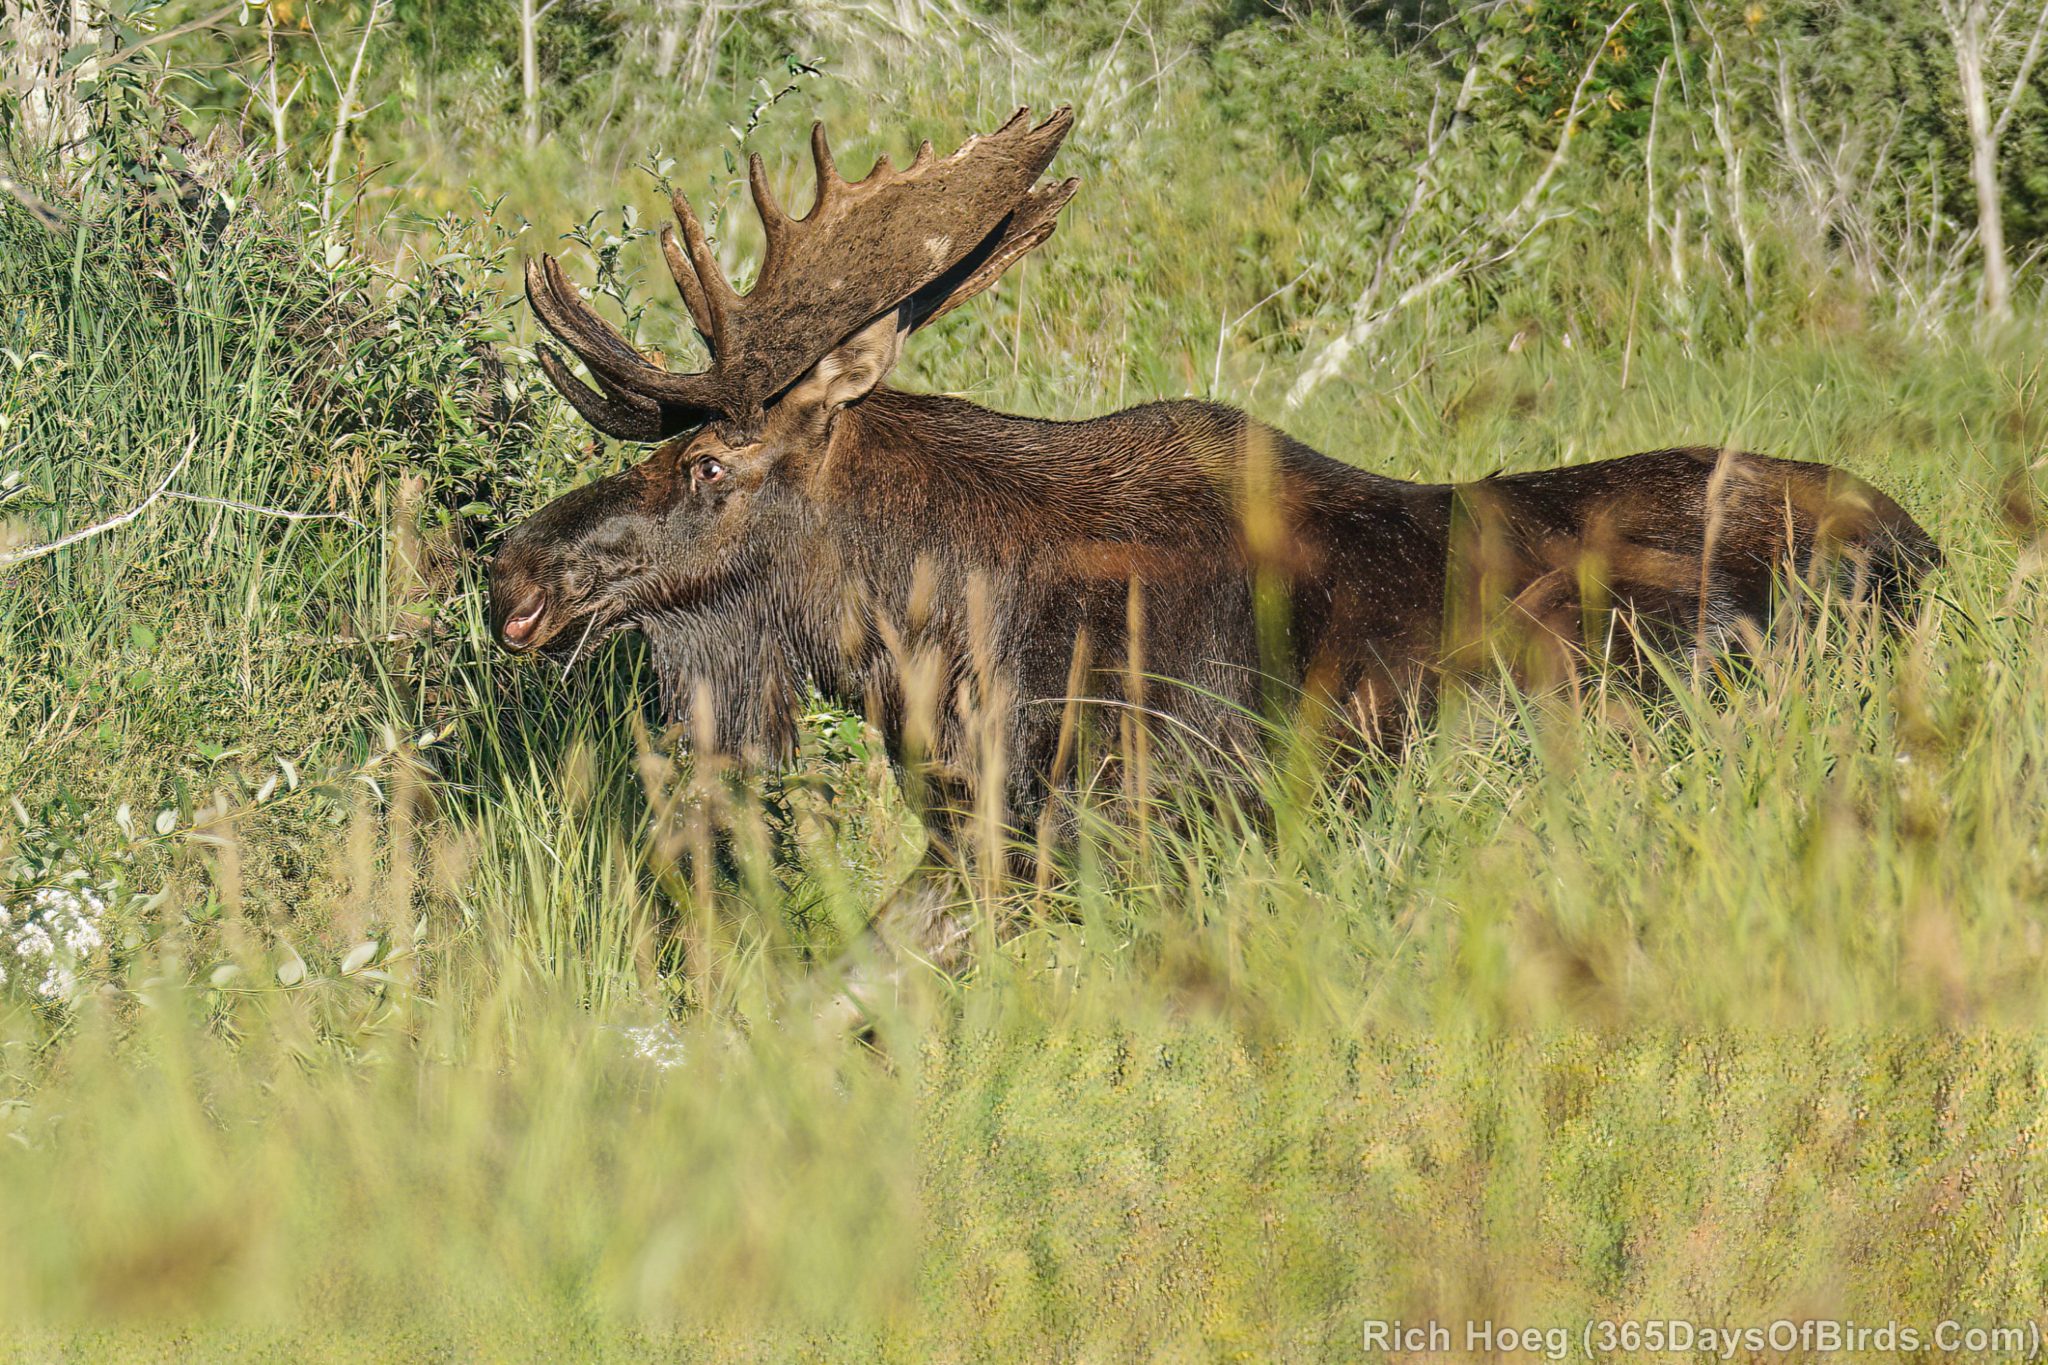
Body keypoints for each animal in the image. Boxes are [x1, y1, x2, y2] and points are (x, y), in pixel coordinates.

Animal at [490, 107, 1938, 986]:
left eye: (710, 466)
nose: (513, 574)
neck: (943, 647)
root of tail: (1924, 549)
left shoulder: (1134, 838)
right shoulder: (984, 839)